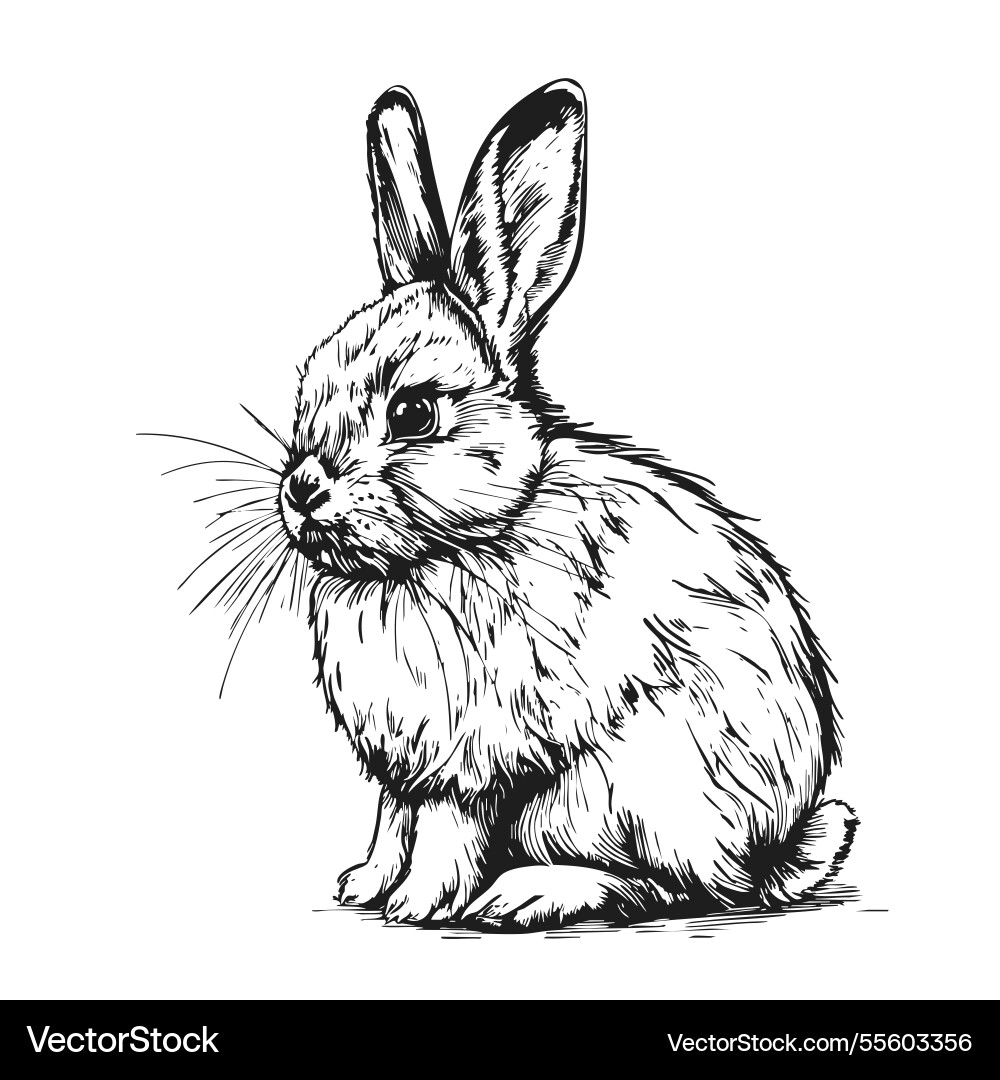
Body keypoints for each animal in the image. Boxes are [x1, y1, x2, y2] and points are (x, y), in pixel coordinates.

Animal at [272, 79, 856, 930]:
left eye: (413, 412)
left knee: (675, 887)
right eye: (305, 389)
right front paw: (366, 882)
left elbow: (445, 829)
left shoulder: (469, 757)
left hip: (626, 797)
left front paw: (418, 905)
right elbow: (392, 817)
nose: (302, 491)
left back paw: (529, 894)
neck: (453, 546)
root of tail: (771, 848)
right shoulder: (400, 767)